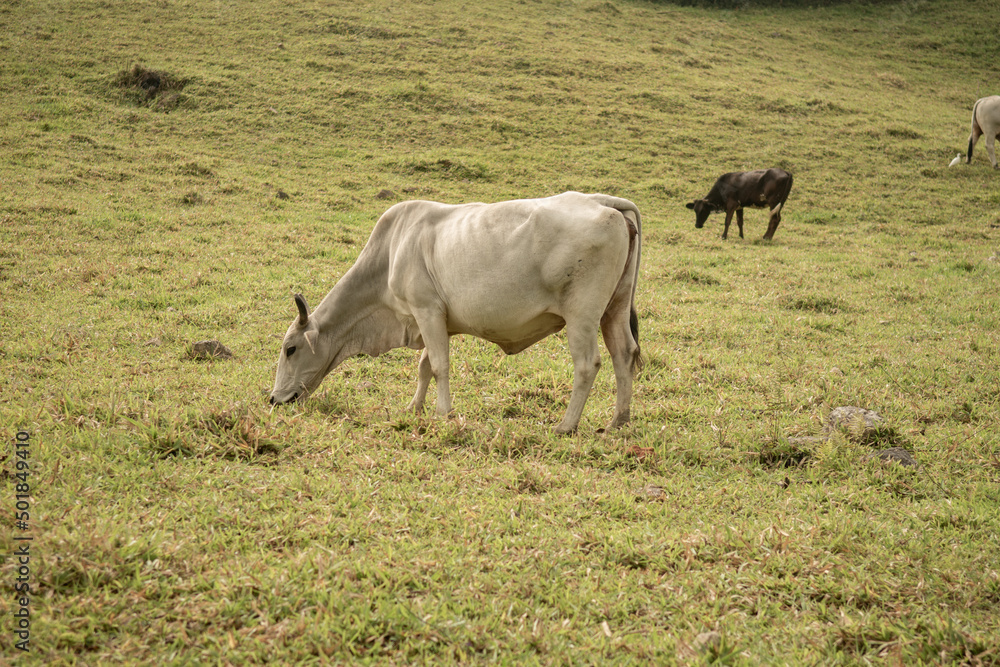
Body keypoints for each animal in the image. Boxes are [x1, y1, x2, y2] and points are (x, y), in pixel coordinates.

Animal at [269, 192, 643, 435]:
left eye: (291, 349)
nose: (274, 399)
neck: (390, 252)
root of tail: (602, 202)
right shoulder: (433, 320)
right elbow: (424, 366)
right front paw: (414, 408)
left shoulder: (426, 310)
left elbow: (438, 366)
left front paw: (443, 413)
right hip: (614, 310)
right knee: (623, 355)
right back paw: (618, 422)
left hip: (581, 315)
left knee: (587, 364)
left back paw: (566, 425)